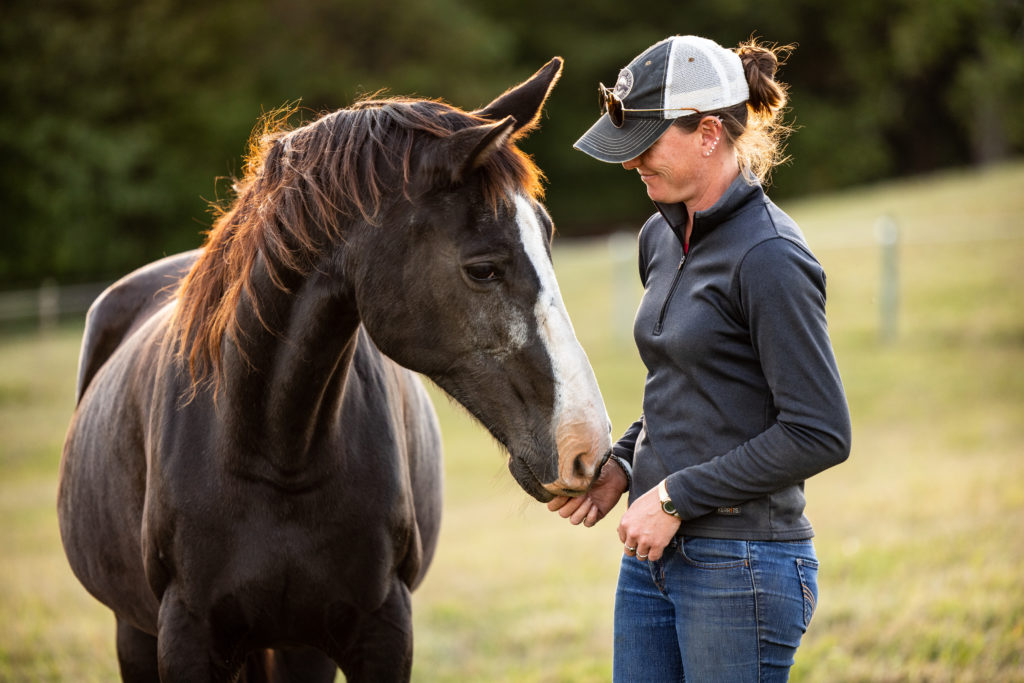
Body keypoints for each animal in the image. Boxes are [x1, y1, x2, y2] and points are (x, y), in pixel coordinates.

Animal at [57, 57, 613, 682]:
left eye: (548, 239)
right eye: (483, 269)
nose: (587, 446)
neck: (274, 453)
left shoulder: (381, 631)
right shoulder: (185, 637)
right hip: (135, 632)